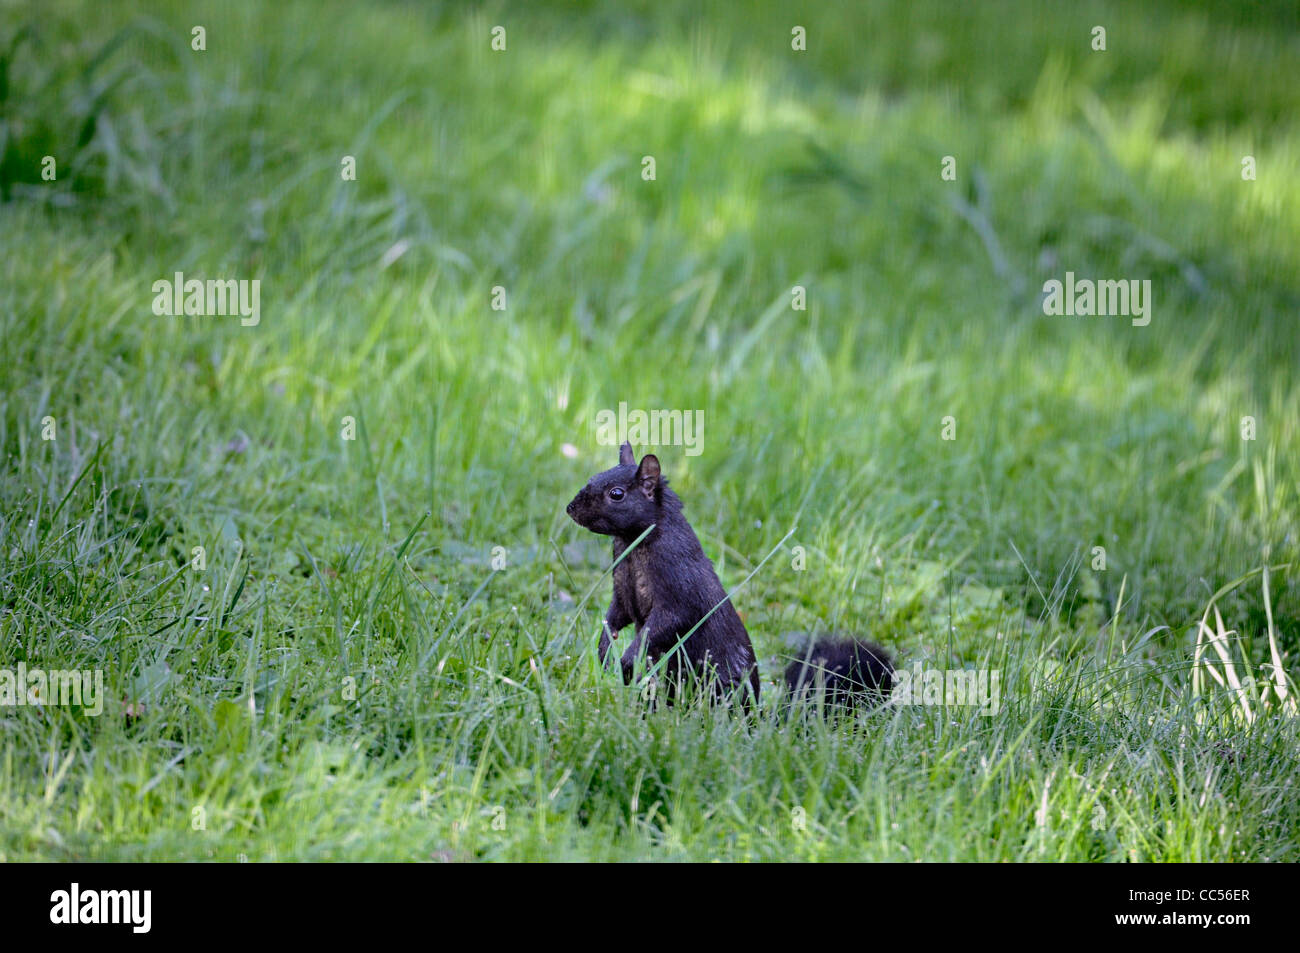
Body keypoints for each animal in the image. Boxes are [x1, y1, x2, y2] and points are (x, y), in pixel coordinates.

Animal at [566, 442, 761, 703]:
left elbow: (666, 622)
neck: (633, 542)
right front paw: (605, 649)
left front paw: (627, 660)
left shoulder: (678, 584)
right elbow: (616, 614)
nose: (570, 509)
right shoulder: (621, 590)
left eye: (616, 494)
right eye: (593, 477)